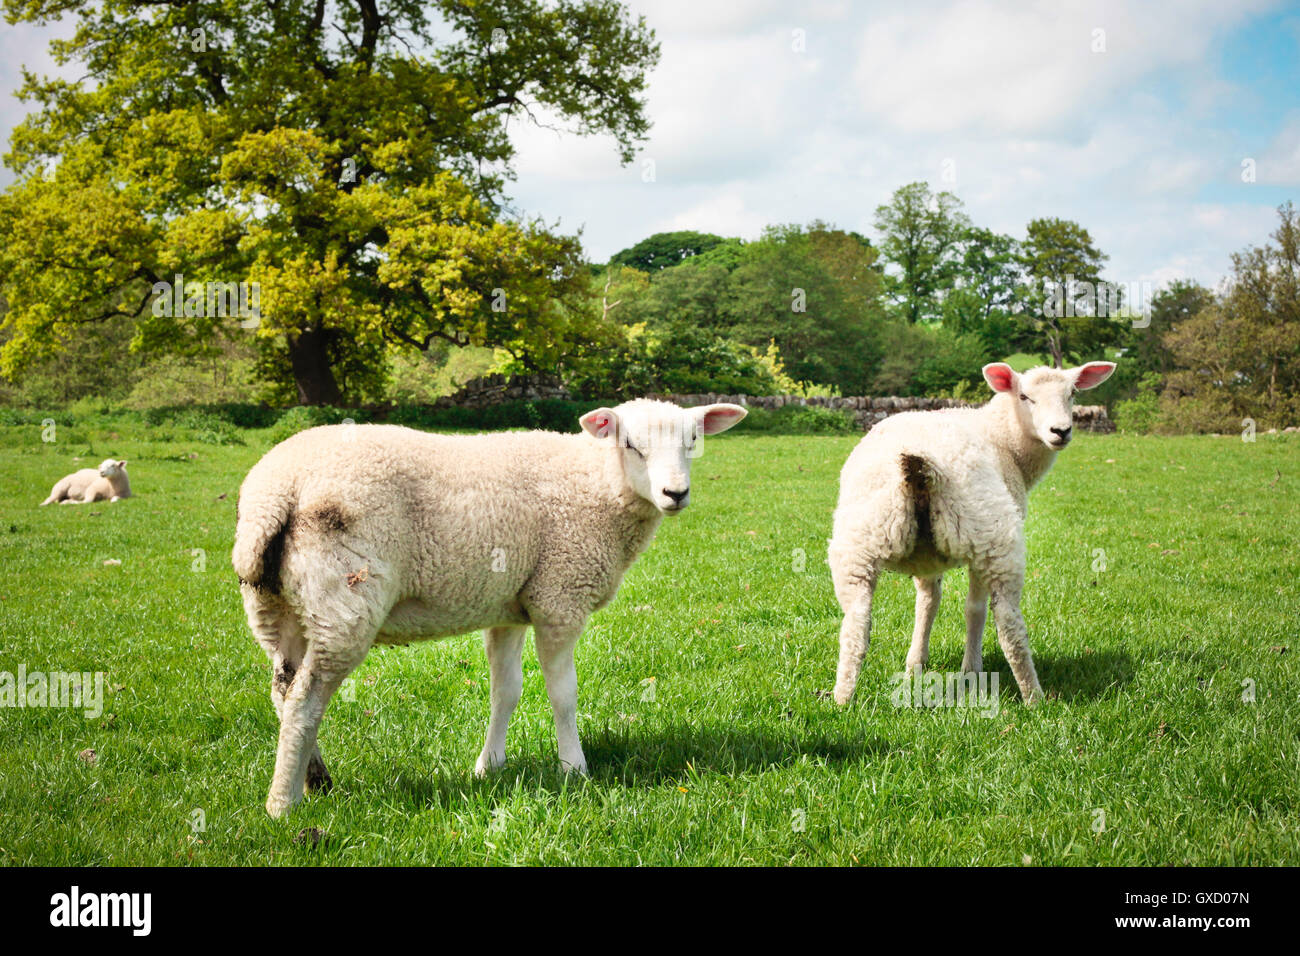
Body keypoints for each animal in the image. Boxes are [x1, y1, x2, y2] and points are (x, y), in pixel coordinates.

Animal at [232, 399, 747, 817]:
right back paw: (284, 805)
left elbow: (506, 692)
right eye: (630, 444)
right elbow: (563, 694)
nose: (675, 494)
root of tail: (273, 493)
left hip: (277, 606)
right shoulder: (560, 597)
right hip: (344, 598)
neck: (596, 483)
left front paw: (489, 766)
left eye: (694, 441)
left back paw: (316, 779)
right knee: (305, 699)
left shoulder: (508, 608)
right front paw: (573, 768)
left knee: (283, 689)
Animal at [827, 361, 1115, 706]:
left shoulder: (926, 559)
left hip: (858, 544)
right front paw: (970, 671)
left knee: (856, 622)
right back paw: (1034, 698)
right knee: (1007, 624)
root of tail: (921, 466)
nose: (1060, 431)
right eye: (1024, 396)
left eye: (1072, 393)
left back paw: (843, 699)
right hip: (992, 539)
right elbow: (972, 610)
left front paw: (915, 664)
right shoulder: (976, 552)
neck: (1006, 439)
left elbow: (927, 601)